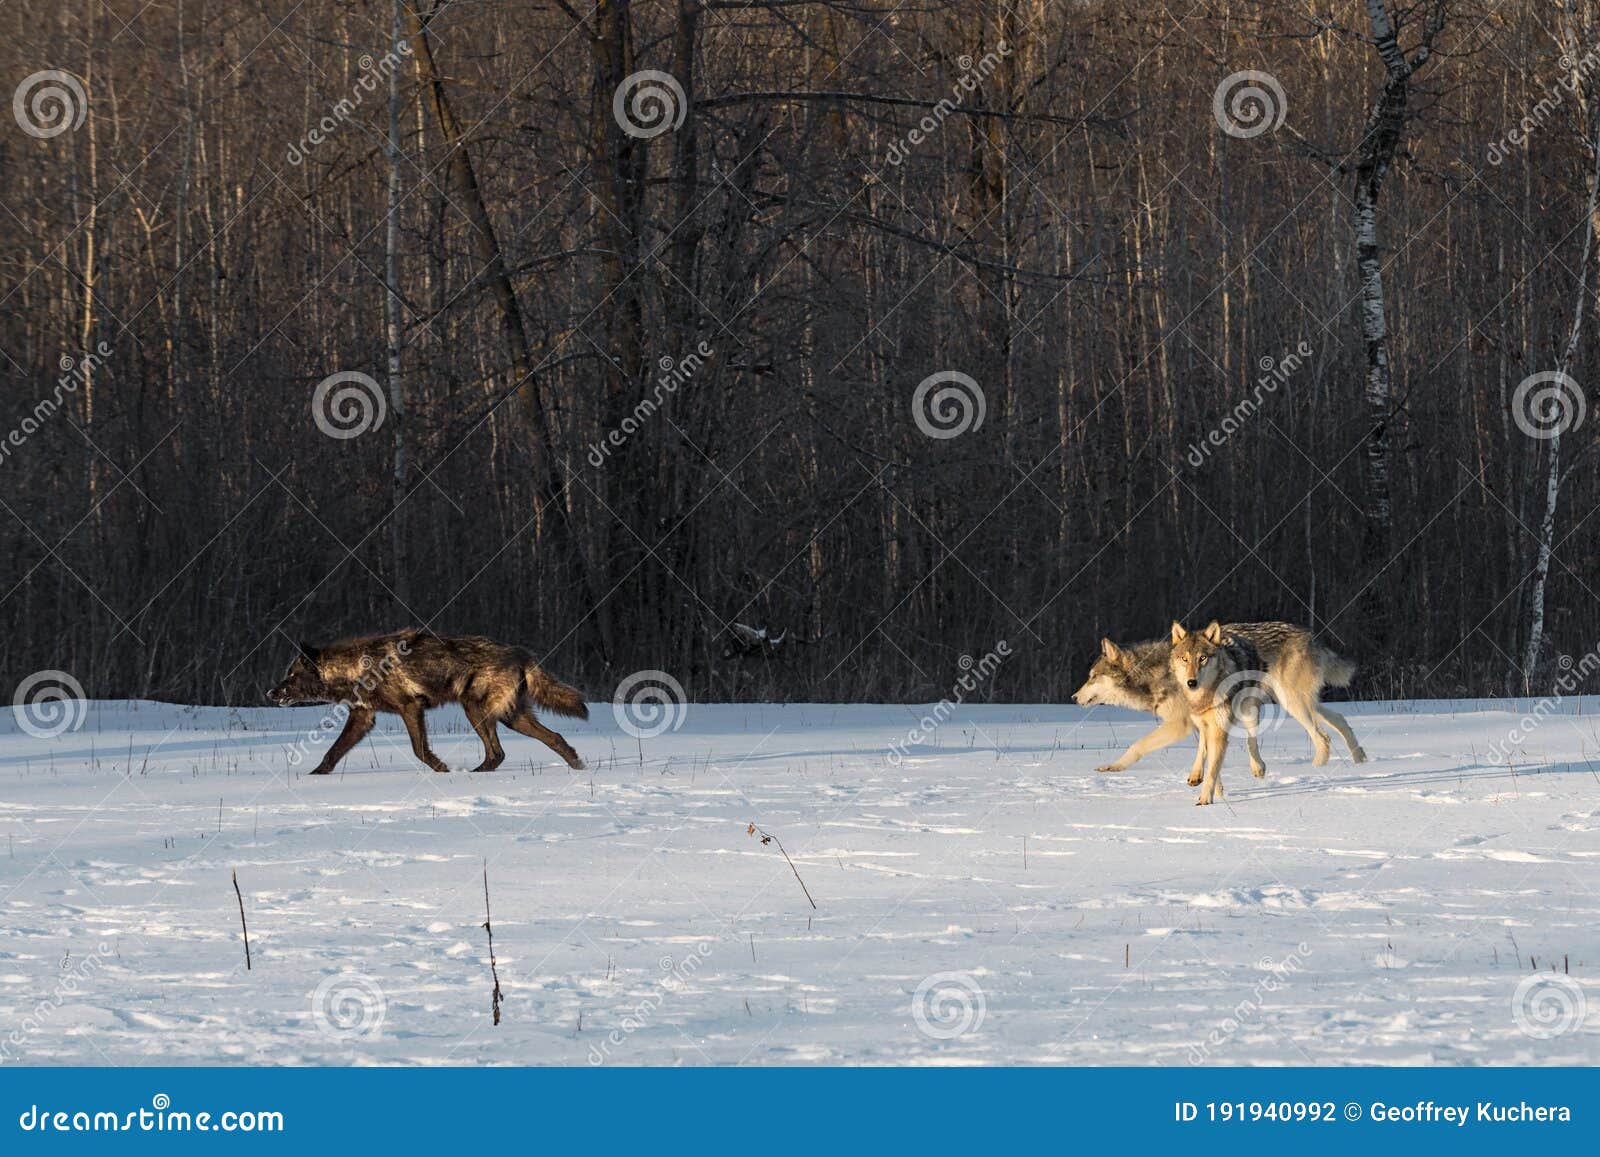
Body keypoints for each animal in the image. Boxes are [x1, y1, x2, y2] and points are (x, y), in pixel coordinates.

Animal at [266, 629, 588, 775]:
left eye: (291, 675)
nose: (270, 693)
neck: (356, 667)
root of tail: (521, 653)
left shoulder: (410, 708)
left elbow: (419, 750)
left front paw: (441, 769)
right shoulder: (362, 717)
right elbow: (332, 753)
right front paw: (315, 776)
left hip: (476, 710)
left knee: (498, 753)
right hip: (510, 716)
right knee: (551, 738)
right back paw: (577, 766)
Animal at [1169, 620, 1366, 805]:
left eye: (1202, 658)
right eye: (1184, 659)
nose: (1191, 682)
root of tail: (1310, 636)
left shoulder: (1219, 728)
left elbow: (1213, 768)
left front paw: (1205, 800)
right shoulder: (1204, 724)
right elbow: (1204, 754)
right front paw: (1201, 780)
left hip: (1291, 703)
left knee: (1321, 737)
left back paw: (1316, 769)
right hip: (1293, 702)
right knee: (1338, 718)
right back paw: (1360, 759)